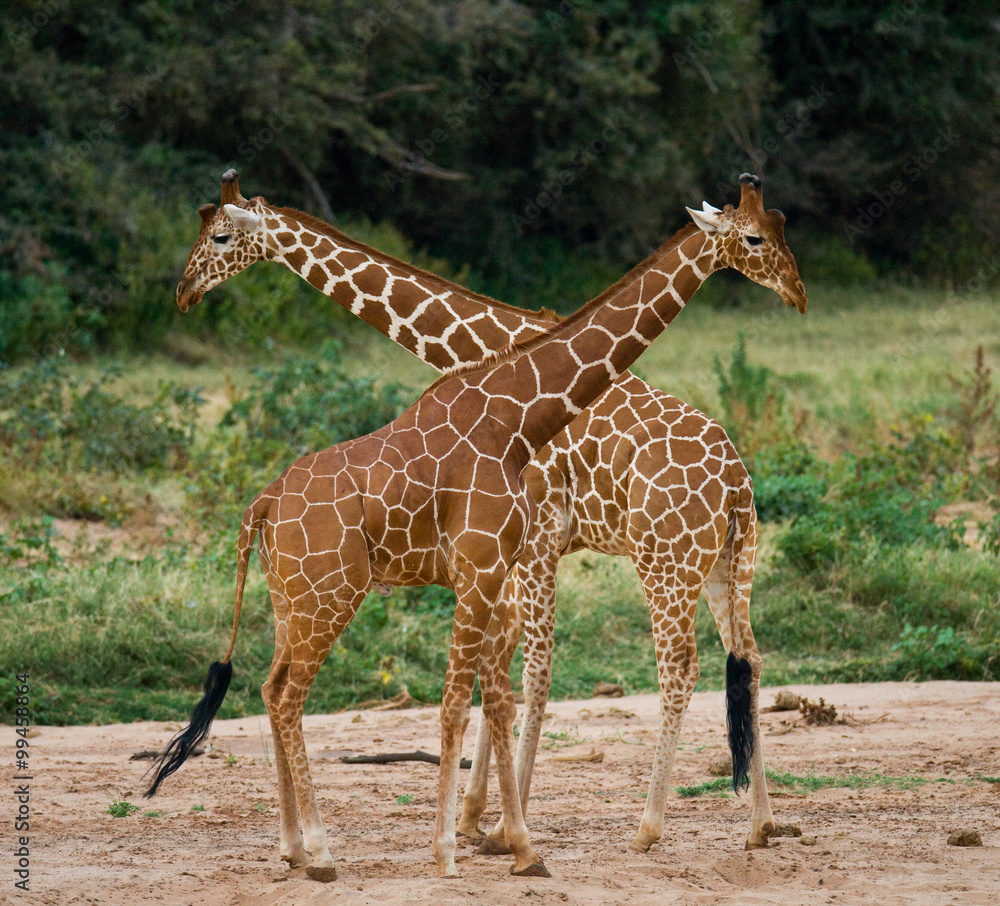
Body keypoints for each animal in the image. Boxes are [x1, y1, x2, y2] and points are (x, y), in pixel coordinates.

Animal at [148, 177, 804, 880]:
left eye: (219, 236)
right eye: (757, 236)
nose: (184, 290)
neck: (492, 368)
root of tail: (737, 481)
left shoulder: (525, 549)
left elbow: (512, 682)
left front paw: (488, 832)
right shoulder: (512, 558)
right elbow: (501, 684)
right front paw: (480, 830)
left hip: (675, 561)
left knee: (695, 665)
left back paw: (671, 828)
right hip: (708, 565)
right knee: (741, 660)